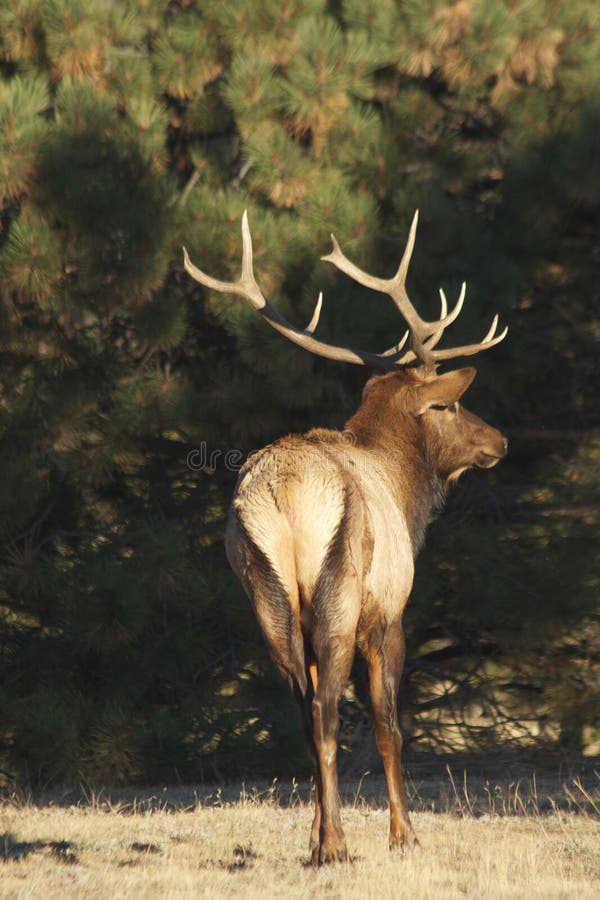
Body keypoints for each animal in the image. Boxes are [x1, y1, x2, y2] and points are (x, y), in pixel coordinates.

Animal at [184, 210, 508, 865]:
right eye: (451, 405)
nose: (500, 441)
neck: (405, 494)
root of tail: (283, 491)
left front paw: (318, 832)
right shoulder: (388, 613)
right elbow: (389, 726)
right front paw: (403, 834)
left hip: (268, 596)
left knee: (303, 715)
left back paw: (320, 839)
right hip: (337, 589)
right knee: (328, 711)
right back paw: (336, 845)